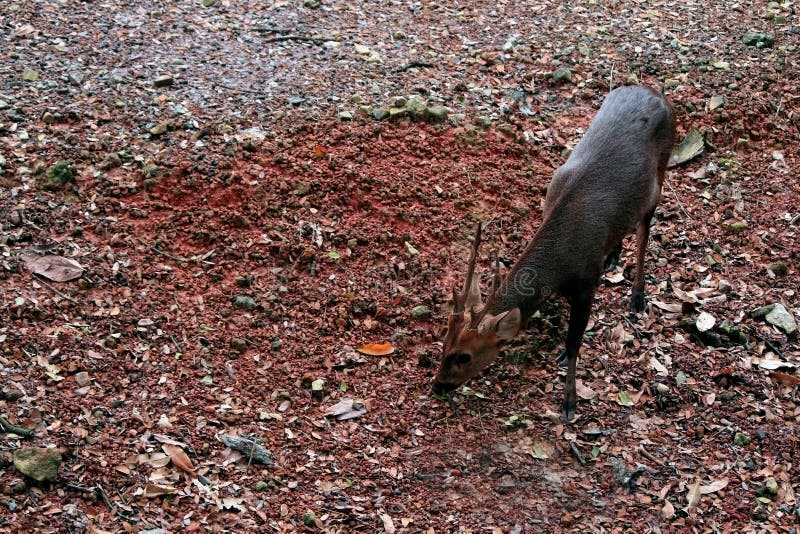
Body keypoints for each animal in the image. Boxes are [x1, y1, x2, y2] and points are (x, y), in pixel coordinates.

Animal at [433, 85, 676, 421]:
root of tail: (657, 93)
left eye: (464, 356)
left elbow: (574, 343)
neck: (562, 261)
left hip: (661, 173)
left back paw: (637, 297)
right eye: (443, 344)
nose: (437, 386)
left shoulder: (588, 281)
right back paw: (614, 256)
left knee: (644, 232)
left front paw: (569, 402)